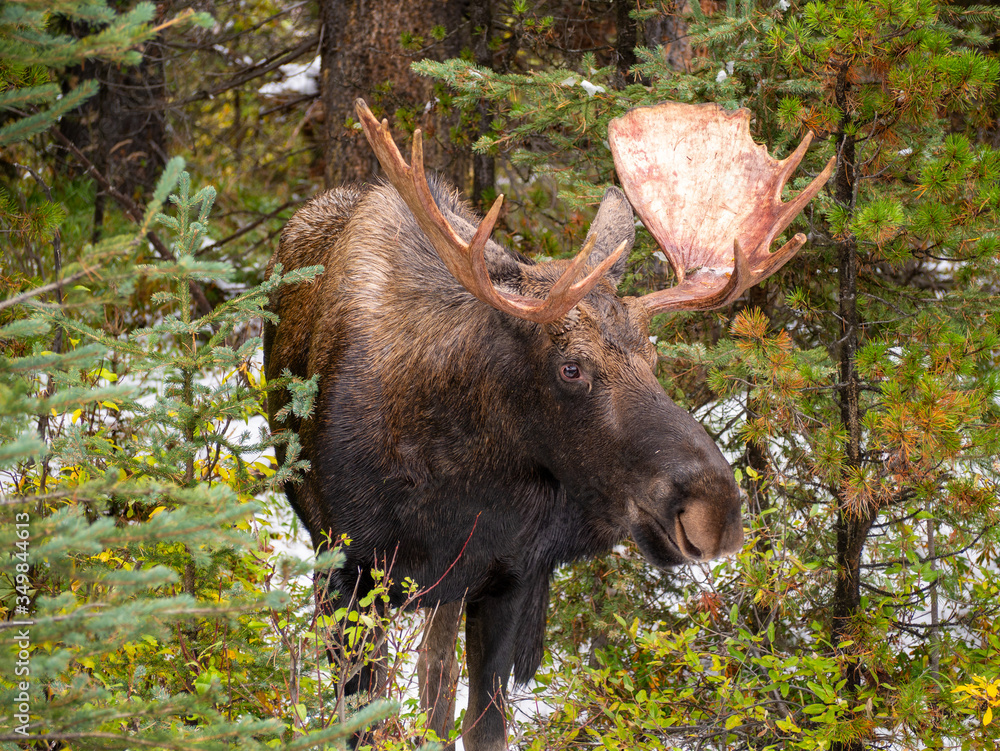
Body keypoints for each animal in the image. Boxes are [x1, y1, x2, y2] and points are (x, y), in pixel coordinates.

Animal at [263, 98, 835, 750]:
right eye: (570, 368)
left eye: (654, 357)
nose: (715, 508)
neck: (458, 486)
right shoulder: (350, 573)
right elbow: (361, 721)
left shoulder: (507, 575)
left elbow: (482, 726)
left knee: (437, 679)